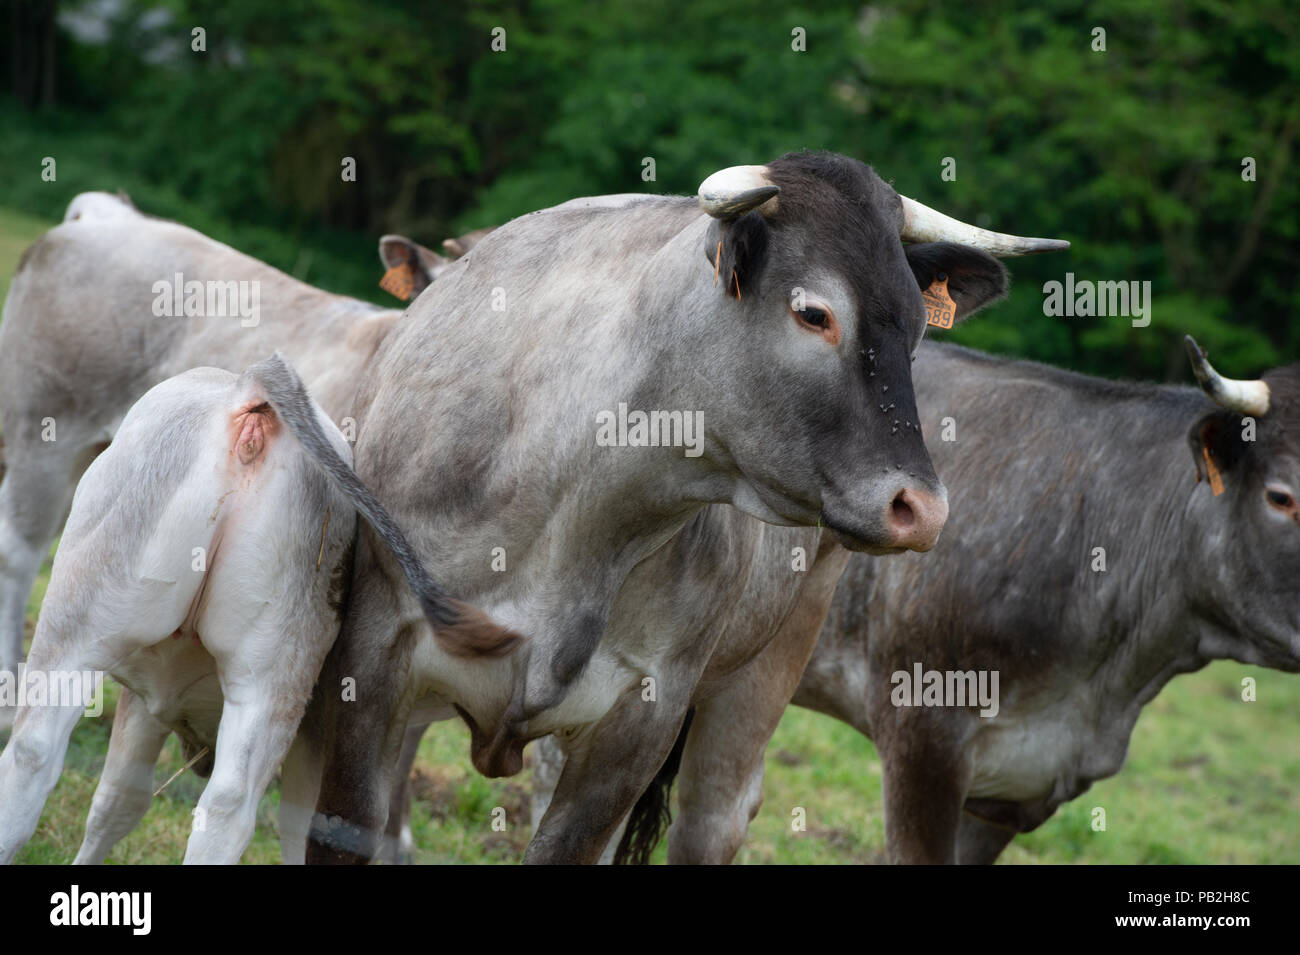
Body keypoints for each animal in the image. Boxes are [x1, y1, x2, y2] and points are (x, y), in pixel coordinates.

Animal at [293, 151, 1067, 864]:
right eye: (815, 313)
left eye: (916, 327)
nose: (922, 507)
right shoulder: (375, 656)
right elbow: (345, 825)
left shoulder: (643, 716)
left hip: (771, 659)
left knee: (712, 817)